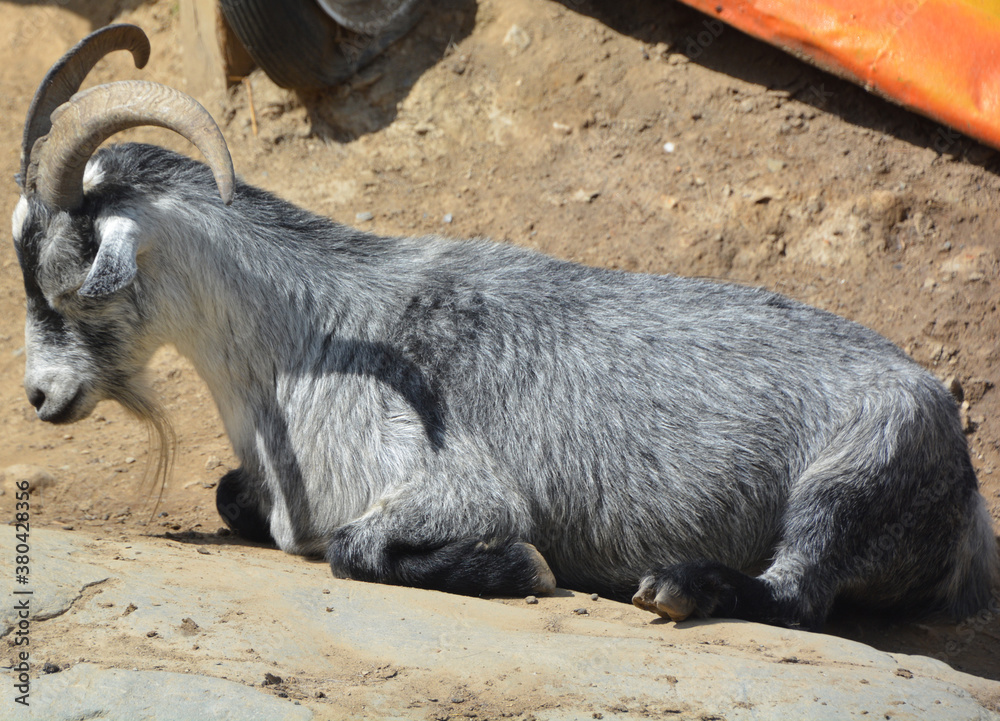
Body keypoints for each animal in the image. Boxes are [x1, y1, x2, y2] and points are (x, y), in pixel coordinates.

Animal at [12, 25, 999, 630]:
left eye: (66, 283)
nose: (41, 397)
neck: (307, 335)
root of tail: (969, 514)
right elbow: (231, 496)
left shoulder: (458, 486)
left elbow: (358, 549)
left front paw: (523, 568)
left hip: (855, 468)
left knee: (800, 592)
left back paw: (674, 585)